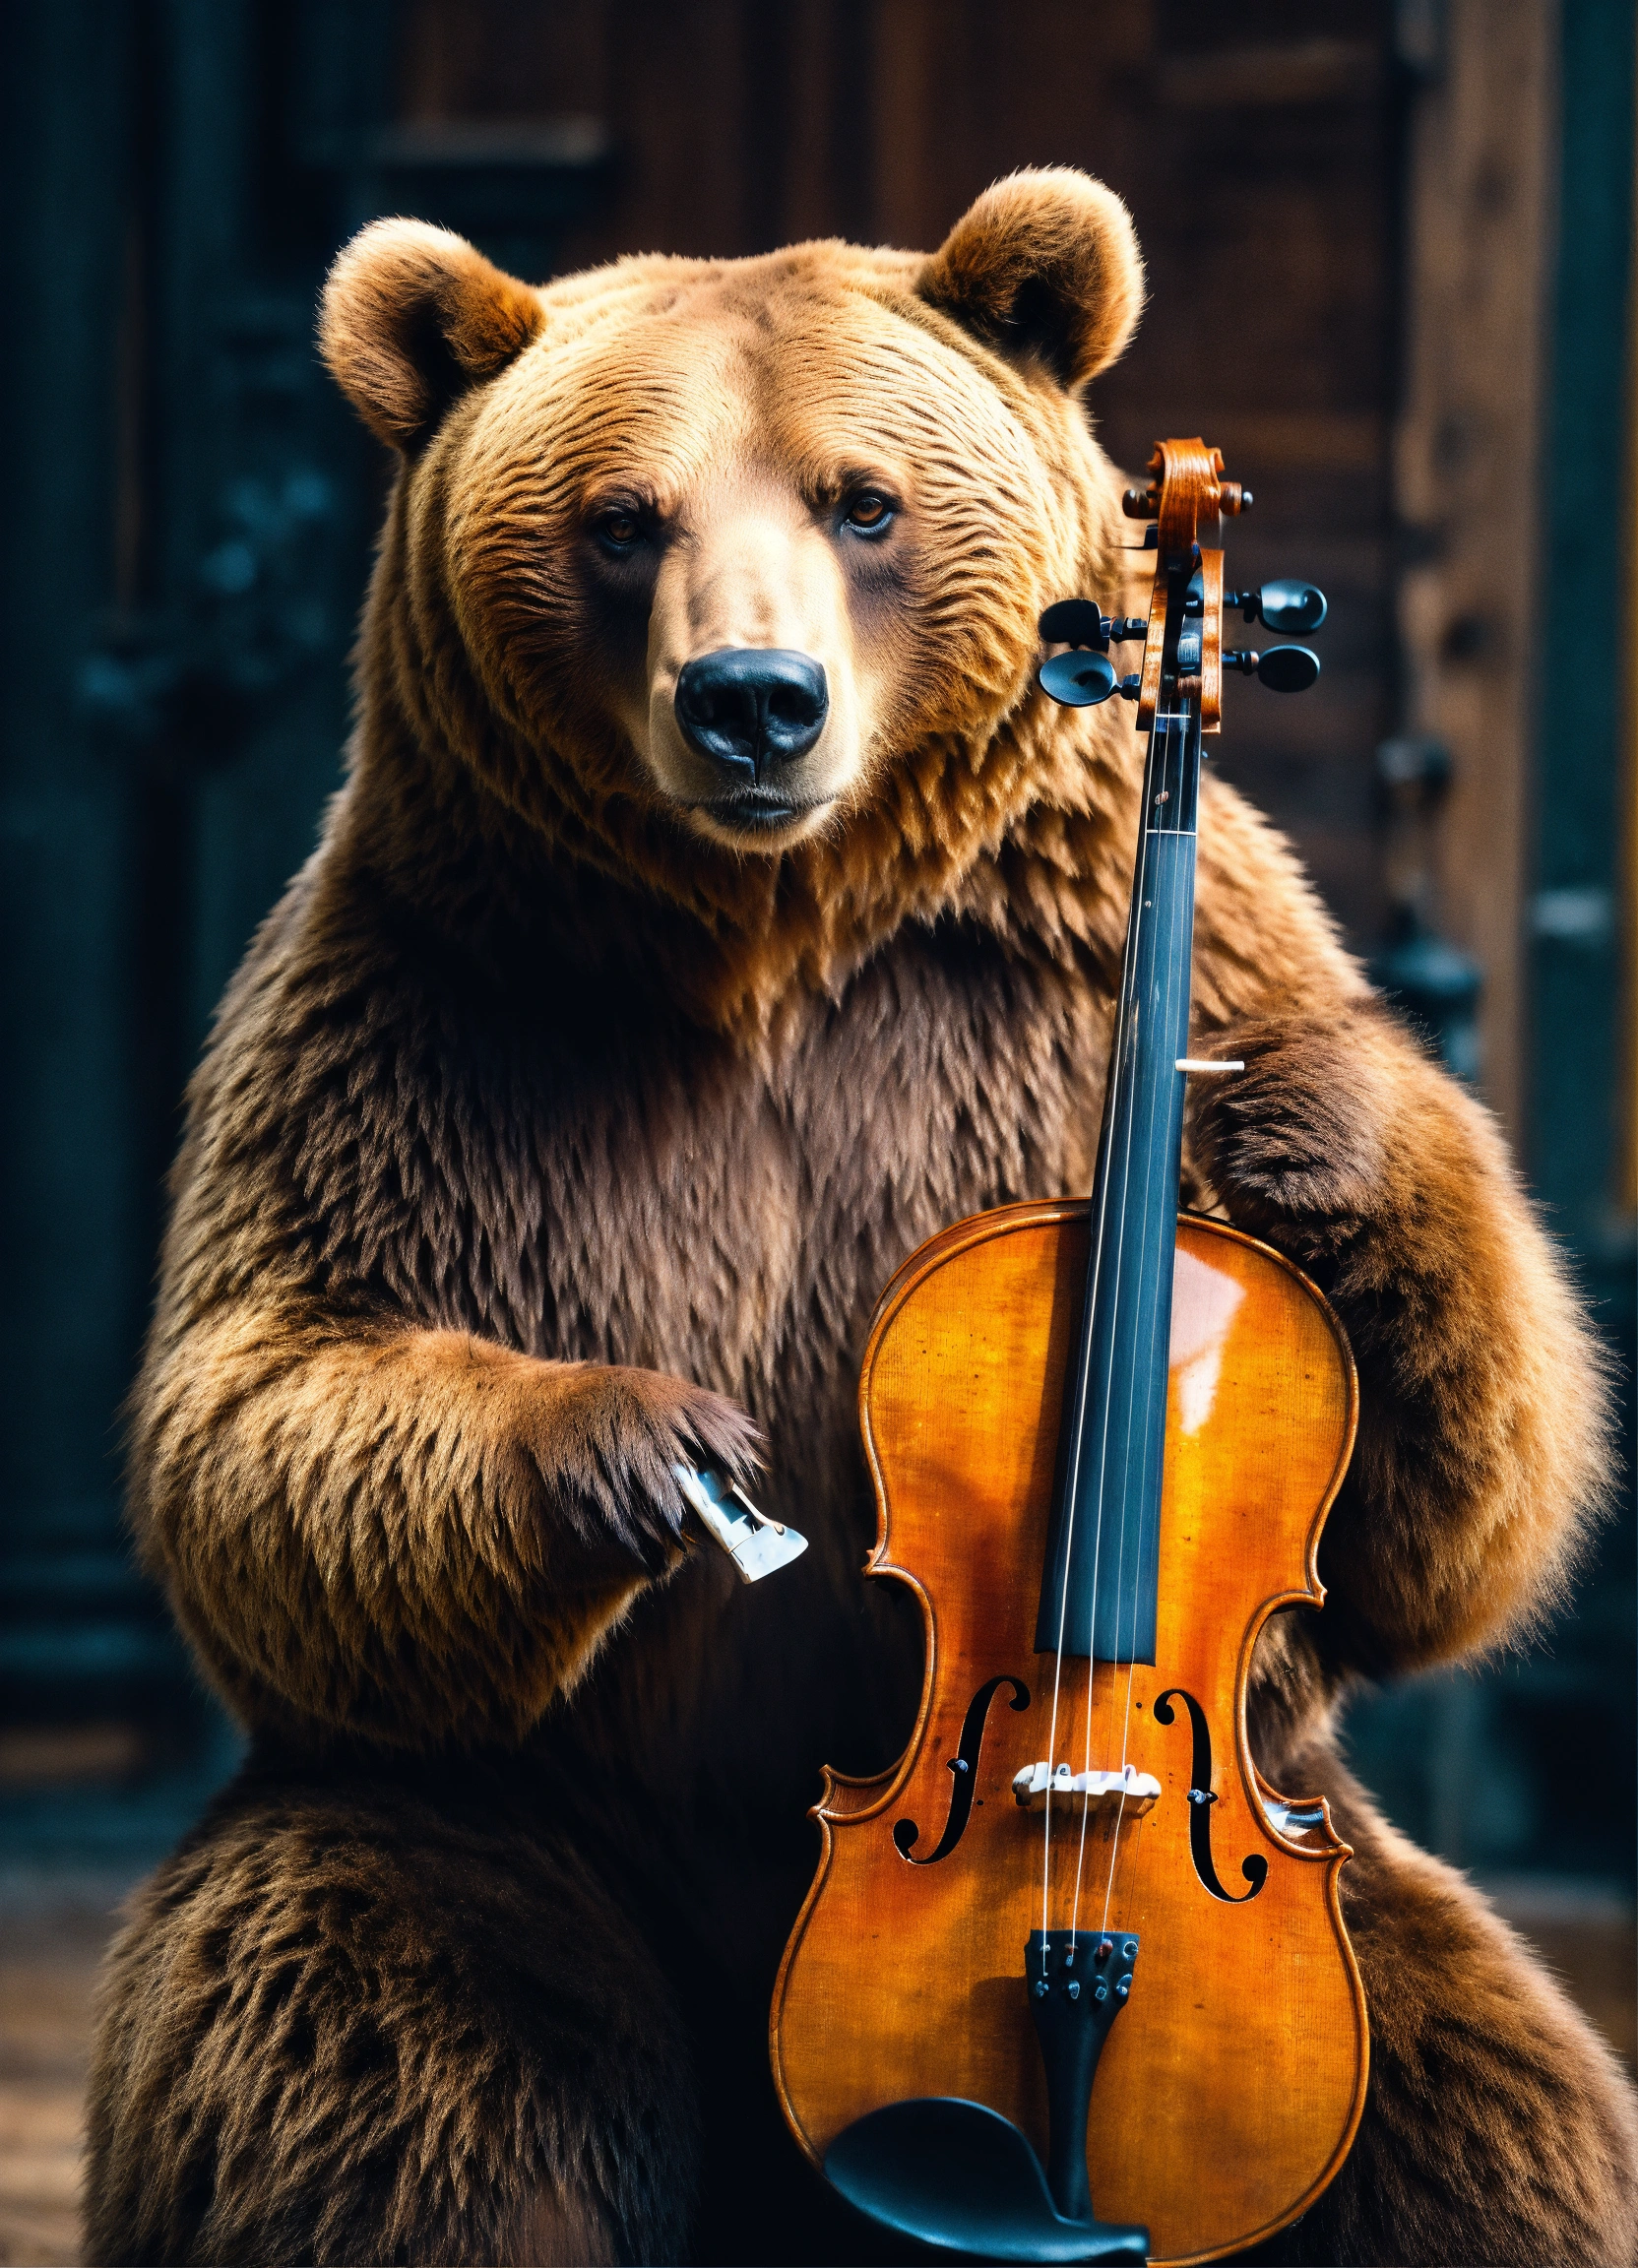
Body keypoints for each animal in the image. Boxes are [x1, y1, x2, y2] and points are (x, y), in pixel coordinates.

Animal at [83, 169, 1636, 2266]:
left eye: (863, 501)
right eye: (619, 518)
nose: (752, 703)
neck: (780, 933)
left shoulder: (1120, 960)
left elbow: (1452, 1517)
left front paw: (1314, 1118)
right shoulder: (415, 1020)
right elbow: (260, 1406)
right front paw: (633, 1441)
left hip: (1340, 1928)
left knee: (1488, 2127)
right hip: (506, 1838)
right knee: (374, 2057)